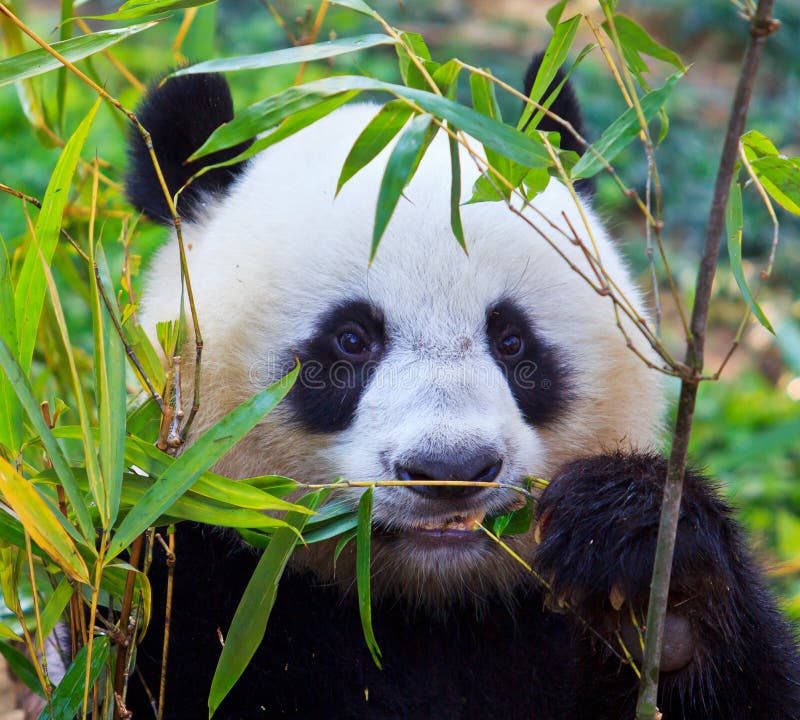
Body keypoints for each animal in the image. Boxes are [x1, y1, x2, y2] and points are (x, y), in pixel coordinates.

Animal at [123, 56, 800, 720]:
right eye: (351, 340)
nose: (452, 468)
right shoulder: (192, 577)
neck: (428, 606)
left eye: (512, 340)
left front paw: (639, 554)